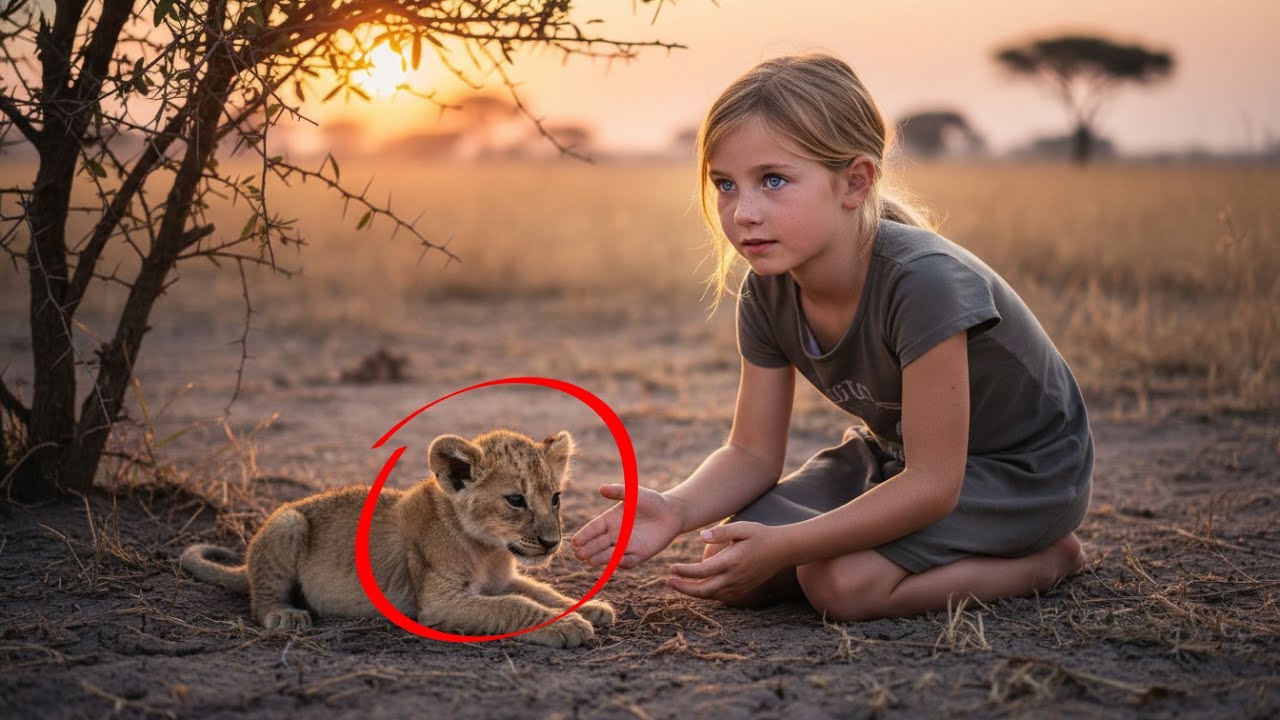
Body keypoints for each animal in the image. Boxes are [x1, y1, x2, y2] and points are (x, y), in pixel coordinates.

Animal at [180, 429, 614, 648]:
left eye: (555, 498)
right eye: (516, 500)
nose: (552, 542)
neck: (489, 549)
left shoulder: (502, 578)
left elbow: (540, 591)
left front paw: (590, 608)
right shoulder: (438, 603)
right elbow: (514, 605)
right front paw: (566, 626)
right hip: (288, 523)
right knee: (259, 601)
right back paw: (285, 614)